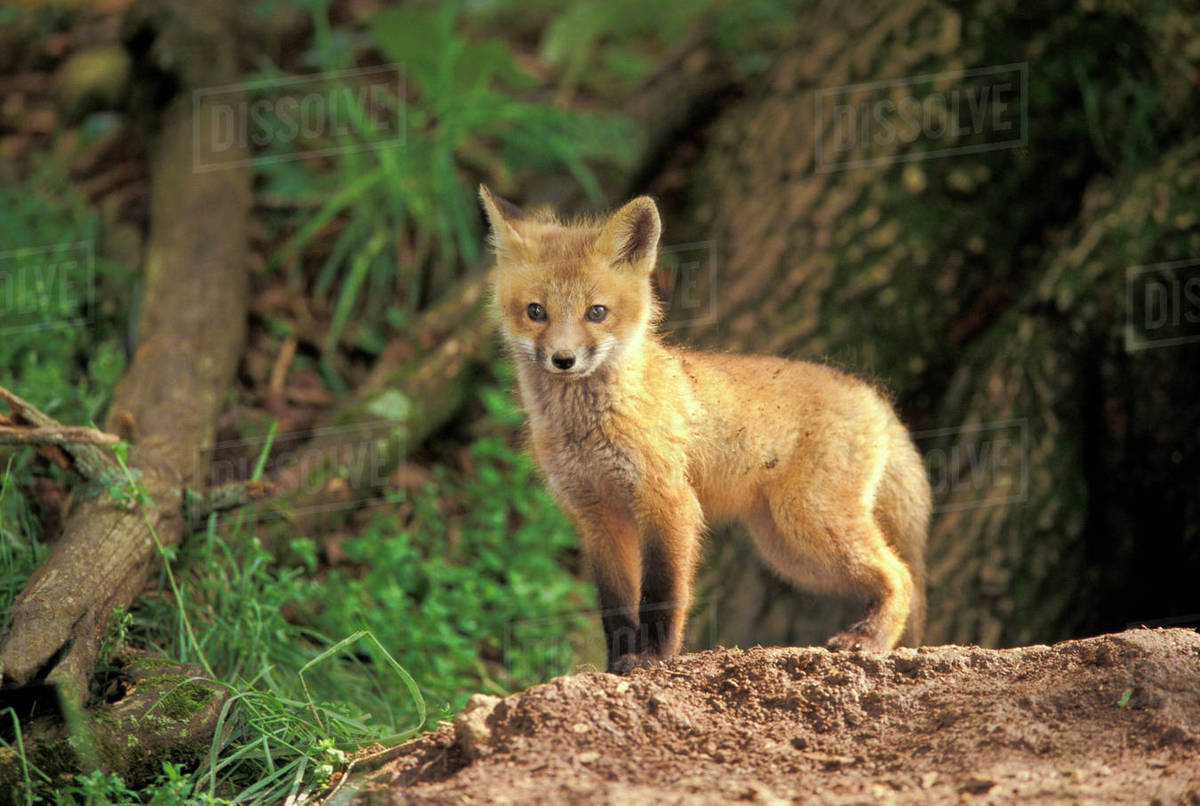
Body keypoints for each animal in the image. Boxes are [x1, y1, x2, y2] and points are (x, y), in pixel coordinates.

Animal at [480, 186, 931, 674]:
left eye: (596, 312)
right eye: (536, 312)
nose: (563, 360)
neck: (591, 428)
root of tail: (870, 393)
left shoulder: (670, 503)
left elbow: (662, 595)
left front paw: (653, 659)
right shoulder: (598, 516)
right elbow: (615, 605)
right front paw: (617, 666)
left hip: (810, 523)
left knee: (901, 575)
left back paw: (871, 639)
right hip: (790, 552)